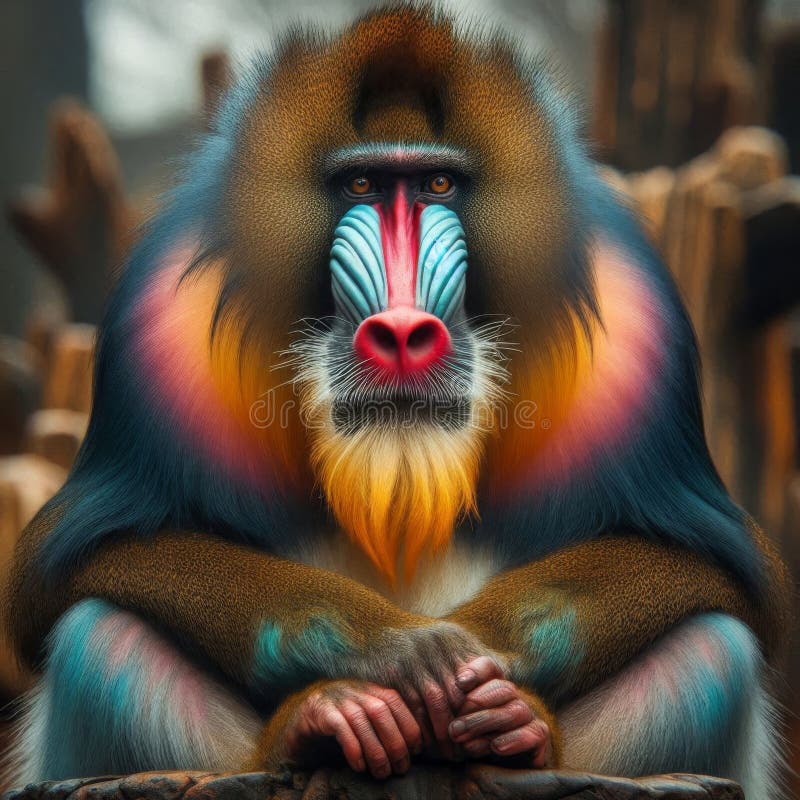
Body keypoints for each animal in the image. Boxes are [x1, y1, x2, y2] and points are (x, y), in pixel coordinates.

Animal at [2, 6, 790, 799]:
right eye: (361, 184)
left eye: (438, 183)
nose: (405, 333)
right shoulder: (160, 329)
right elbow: (65, 568)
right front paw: (395, 654)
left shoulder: (639, 332)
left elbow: (725, 573)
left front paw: (485, 664)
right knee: (101, 636)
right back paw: (322, 723)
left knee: (713, 643)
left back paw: (520, 735)